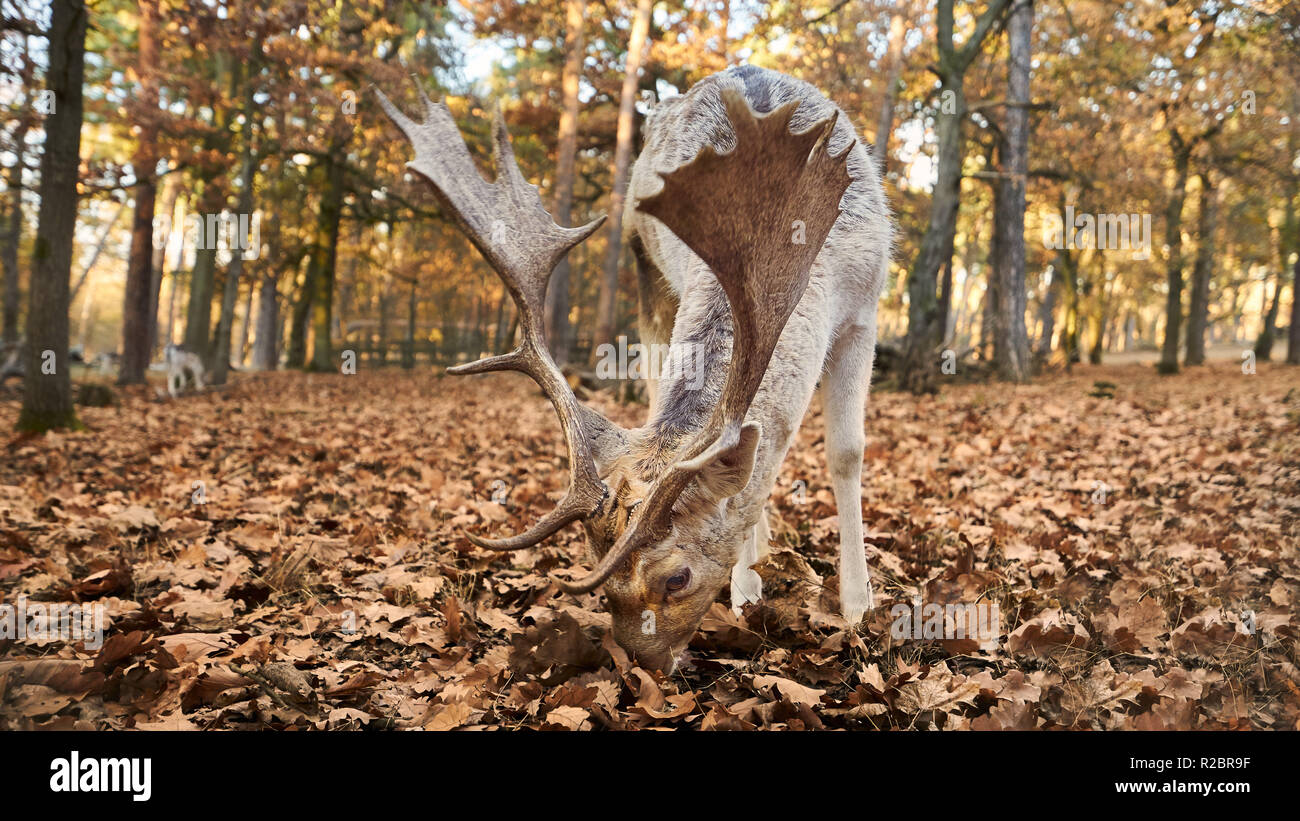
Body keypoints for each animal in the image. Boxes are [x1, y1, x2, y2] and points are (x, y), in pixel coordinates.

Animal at [377, 64, 891, 673]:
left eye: (677, 578)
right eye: (599, 576)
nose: (640, 667)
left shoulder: (864, 311)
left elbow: (847, 453)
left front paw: (858, 606)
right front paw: (746, 590)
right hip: (652, 279)